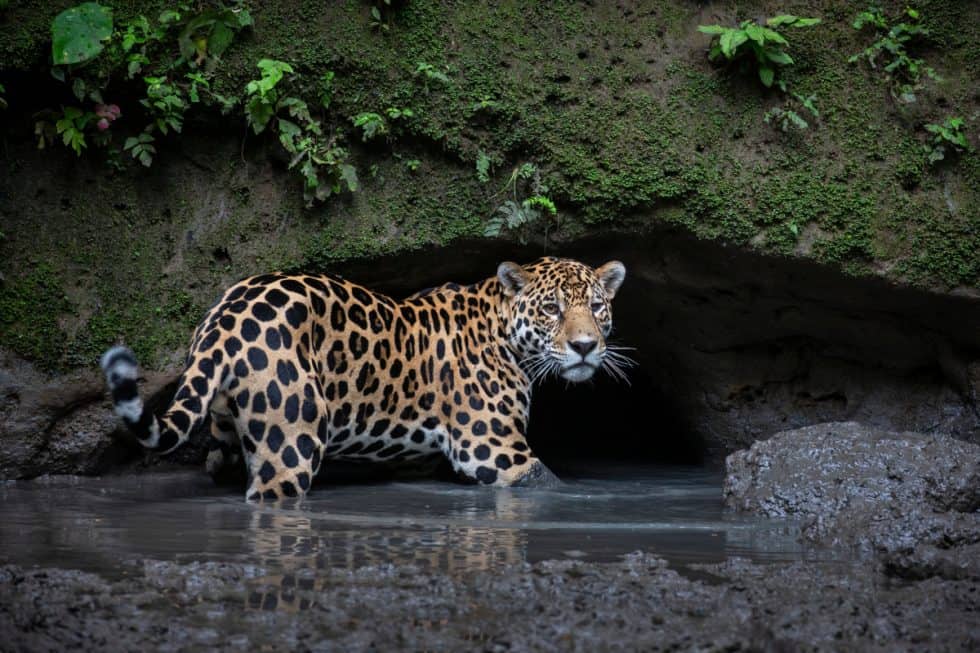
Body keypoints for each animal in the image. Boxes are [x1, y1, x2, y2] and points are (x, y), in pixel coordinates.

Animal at [101, 257, 628, 501]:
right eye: (552, 309)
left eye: (596, 307)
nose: (585, 346)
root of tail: (227, 312)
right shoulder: (496, 453)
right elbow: (550, 484)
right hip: (292, 442)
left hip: (228, 422)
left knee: (222, 455)